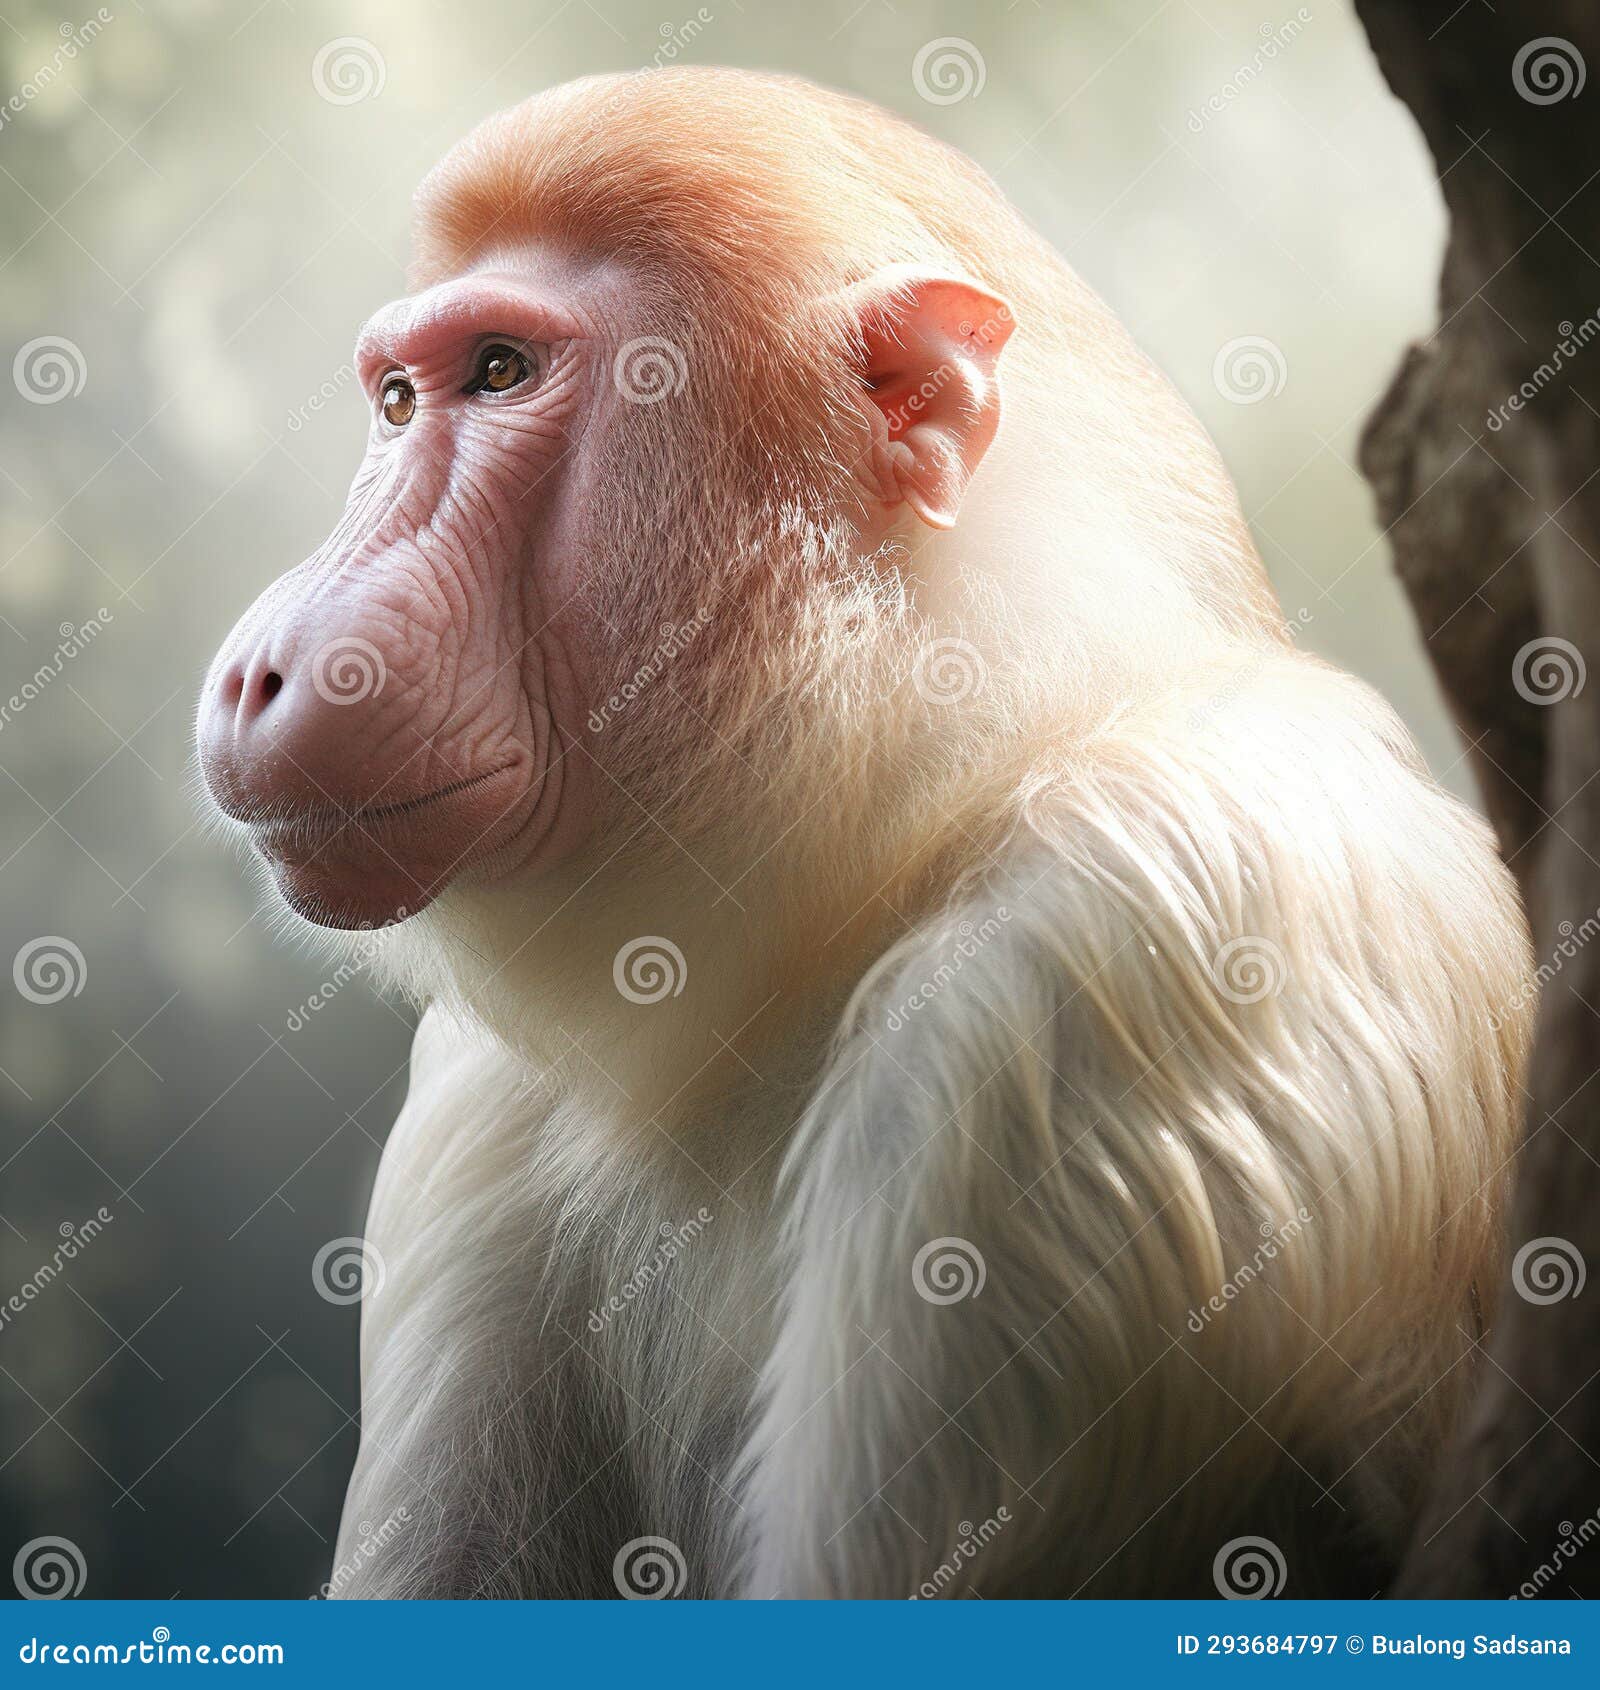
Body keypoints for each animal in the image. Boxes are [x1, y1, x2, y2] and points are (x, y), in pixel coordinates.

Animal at [197, 68, 1531, 1598]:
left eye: (498, 372)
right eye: (399, 395)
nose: (255, 674)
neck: (917, 811)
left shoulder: (1105, 961)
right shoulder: (482, 1096)